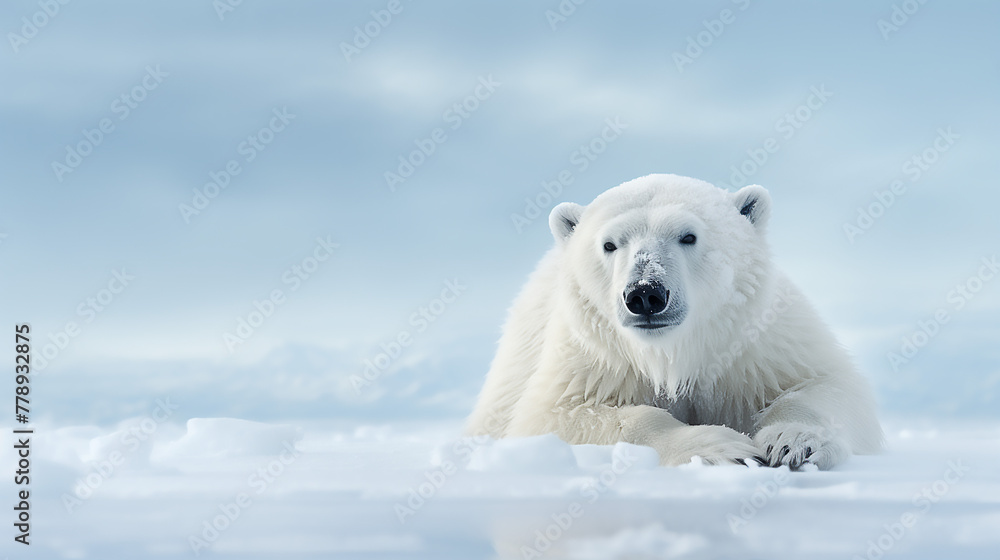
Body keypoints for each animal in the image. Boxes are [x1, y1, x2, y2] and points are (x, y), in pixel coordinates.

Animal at [466, 174, 882, 469]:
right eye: (609, 244)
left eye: (688, 236)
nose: (645, 294)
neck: (673, 354)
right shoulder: (595, 360)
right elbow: (553, 417)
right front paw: (723, 447)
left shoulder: (757, 344)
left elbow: (823, 384)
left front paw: (793, 443)